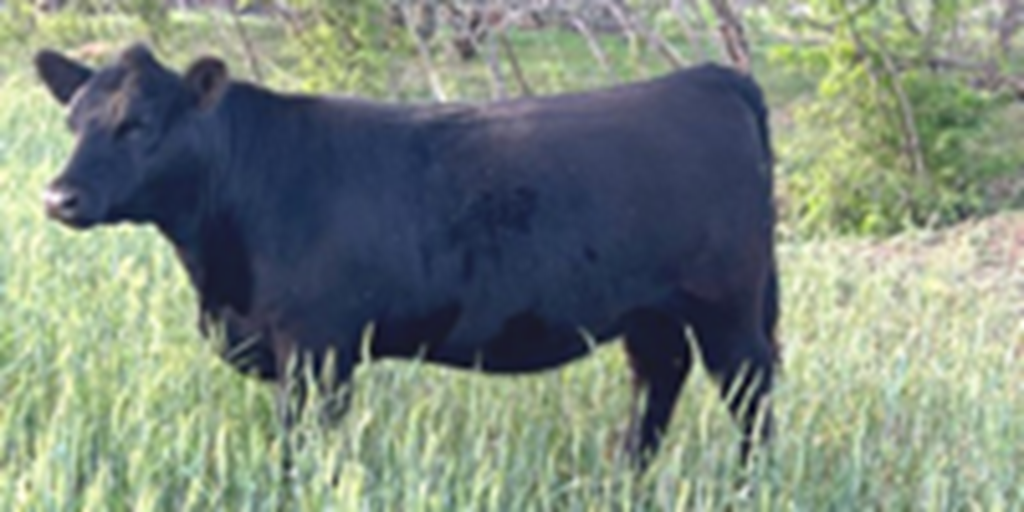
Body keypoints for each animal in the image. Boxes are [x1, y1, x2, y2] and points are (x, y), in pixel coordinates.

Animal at [34, 43, 779, 470]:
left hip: (730, 314)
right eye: (72, 120)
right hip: (653, 316)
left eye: (138, 125)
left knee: (752, 403)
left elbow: (304, 448)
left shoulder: (317, 347)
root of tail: (709, 79)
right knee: (657, 386)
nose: (59, 197)